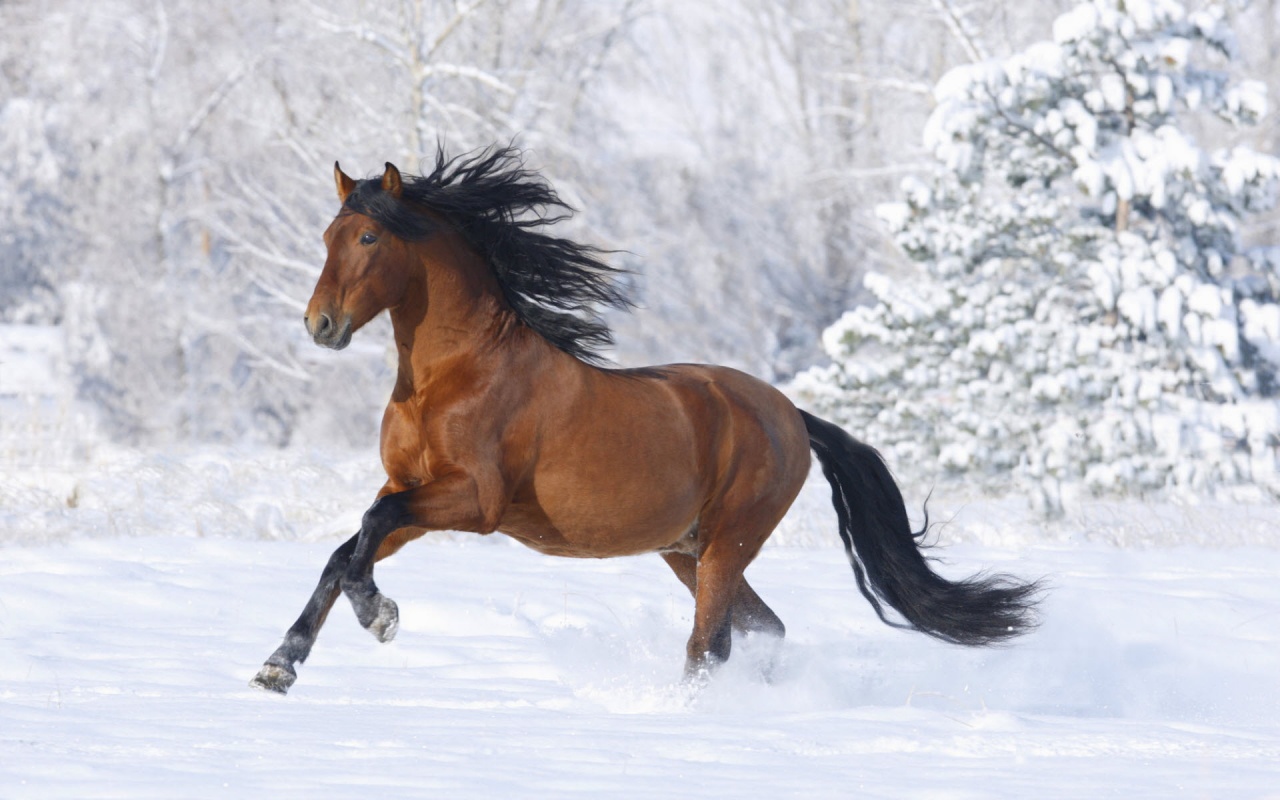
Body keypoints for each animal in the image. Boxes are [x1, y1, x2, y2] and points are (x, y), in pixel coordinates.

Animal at [250, 146, 1040, 695]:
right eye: (327, 236)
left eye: (369, 240)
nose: (320, 325)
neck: (455, 375)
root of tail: (789, 413)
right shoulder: (409, 490)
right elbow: (346, 550)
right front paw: (279, 665)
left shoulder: (472, 501)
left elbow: (365, 534)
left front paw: (379, 616)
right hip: (686, 550)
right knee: (762, 628)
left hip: (728, 543)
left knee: (710, 644)